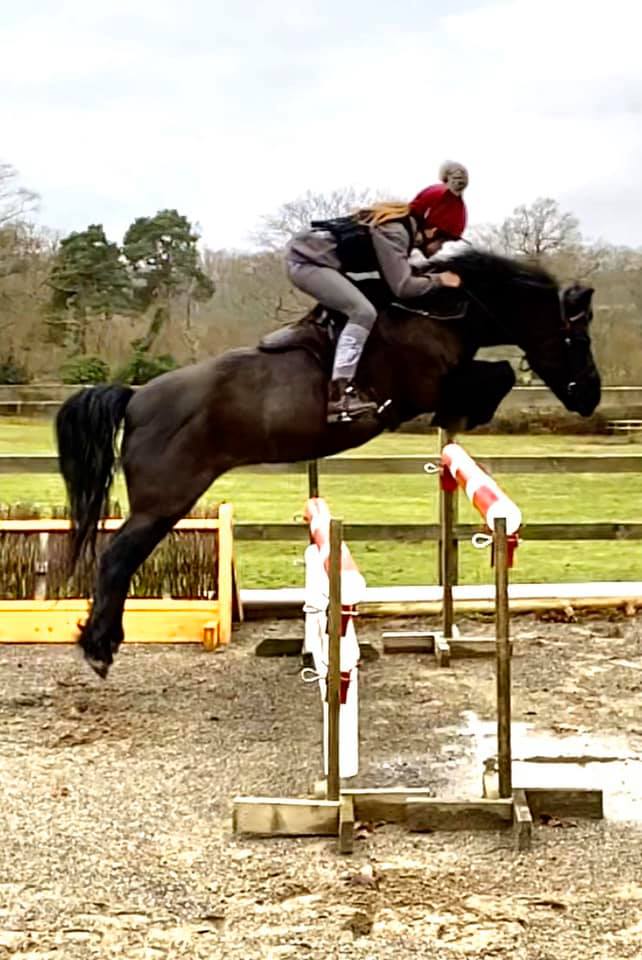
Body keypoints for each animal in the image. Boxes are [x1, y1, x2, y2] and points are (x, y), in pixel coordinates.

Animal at [55, 247, 601, 678]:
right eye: (578, 340)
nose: (591, 396)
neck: (437, 313)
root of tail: (136, 397)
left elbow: (497, 373)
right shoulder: (426, 388)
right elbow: (500, 373)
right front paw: (466, 413)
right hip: (163, 503)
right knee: (116, 559)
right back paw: (99, 648)